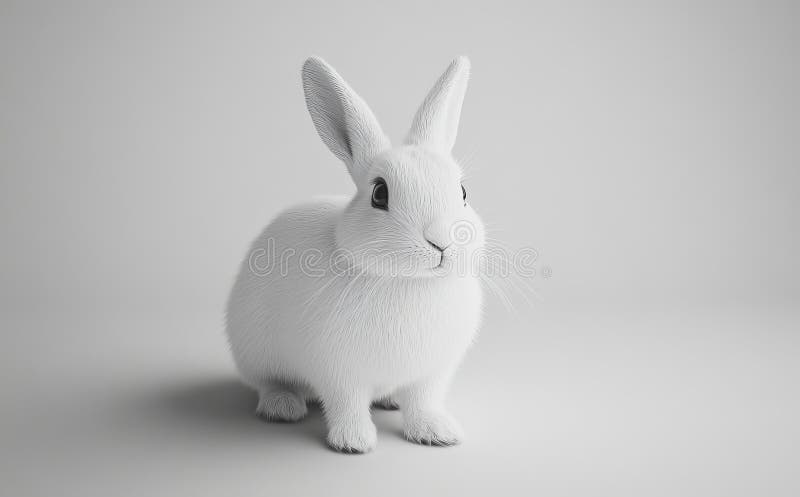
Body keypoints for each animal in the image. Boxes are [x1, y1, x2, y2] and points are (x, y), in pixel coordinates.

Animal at [225, 56, 485, 453]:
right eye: (379, 194)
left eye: (463, 192)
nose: (441, 242)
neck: (410, 281)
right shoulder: (339, 372)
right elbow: (346, 405)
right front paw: (354, 442)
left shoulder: (432, 374)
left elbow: (424, 402)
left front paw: (437, 432)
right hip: (256, 352)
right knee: (268, 383)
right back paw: (283, 406)